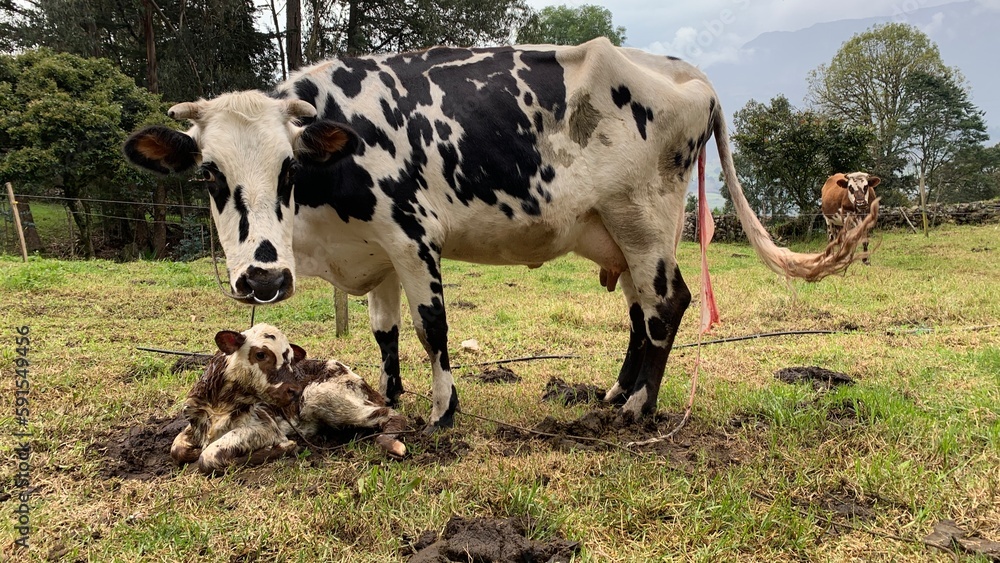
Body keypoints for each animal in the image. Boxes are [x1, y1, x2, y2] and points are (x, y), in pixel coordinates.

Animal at [125, 38, 877, 432]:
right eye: (210, 175)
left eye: (289, 167)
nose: (262, 277)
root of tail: (685, 72)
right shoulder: (376, 251)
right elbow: (386, 333)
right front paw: (390, 399)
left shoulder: (412, 233)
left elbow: (431, 326)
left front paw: (443, 412)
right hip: (622, 233)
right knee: (643, 312)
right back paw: (615, 393)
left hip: (645, 220)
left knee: (666, 306)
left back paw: (637, 408)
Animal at [170, 323, 406, 474]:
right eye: (260, 354)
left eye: (291, 361)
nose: (293, 391)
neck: (219, 404)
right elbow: (177, 449)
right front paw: (191, 451)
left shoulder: (265, 426)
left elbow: (208, 457)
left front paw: (282, 448)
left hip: (322, 397)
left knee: (391, 414)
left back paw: (391, 443)